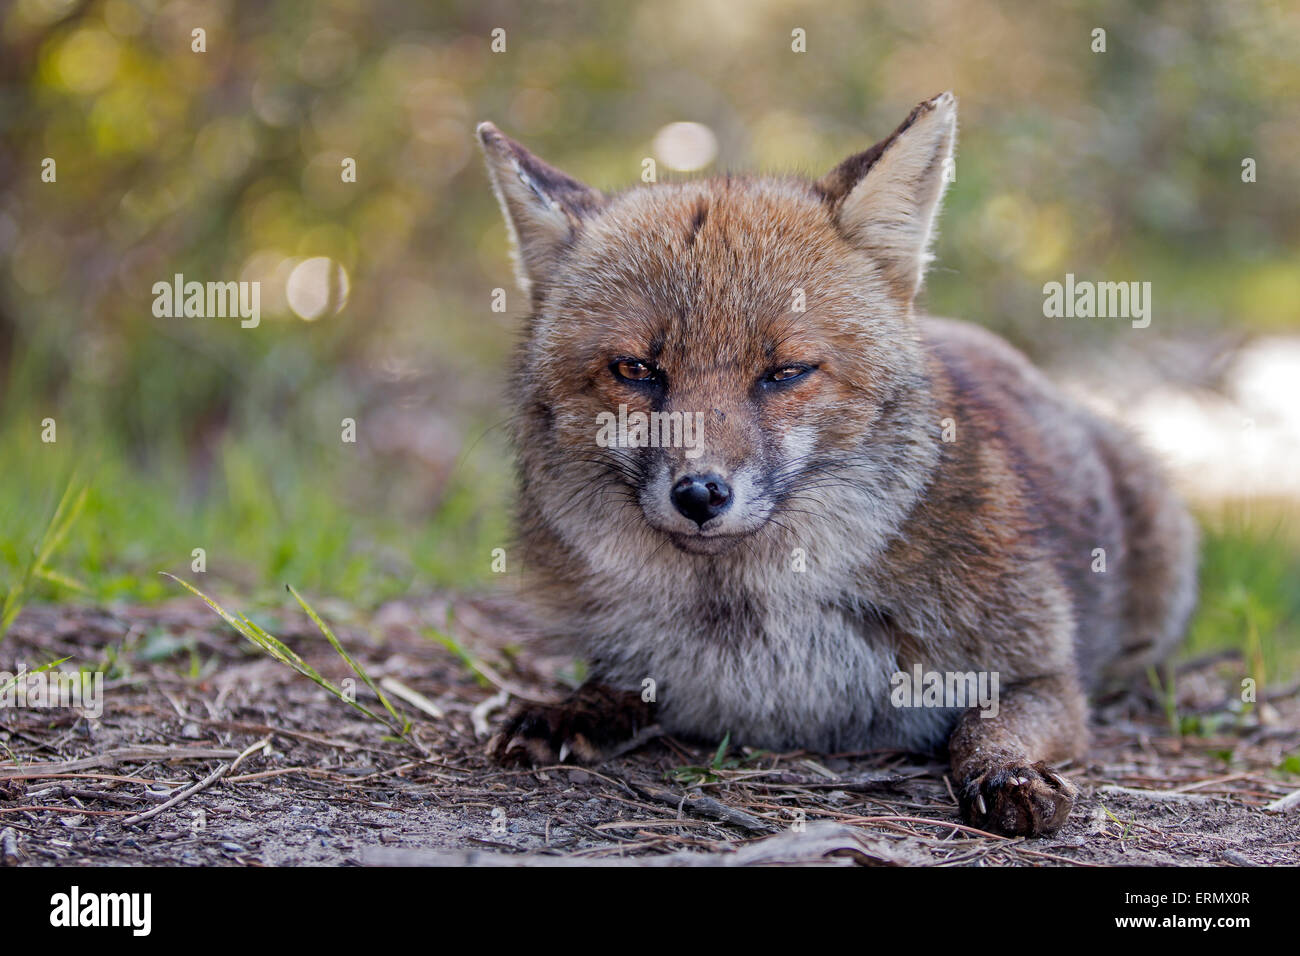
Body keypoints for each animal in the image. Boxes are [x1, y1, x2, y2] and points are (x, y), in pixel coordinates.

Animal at [476, 93, 1198, 837]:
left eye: (787, 371)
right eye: (635, 370)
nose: (700, 494)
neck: (752, 628)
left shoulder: (1044, 673)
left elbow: (983, 726)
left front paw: (1008, 773)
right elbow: (616, 685)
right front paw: (569, 711)